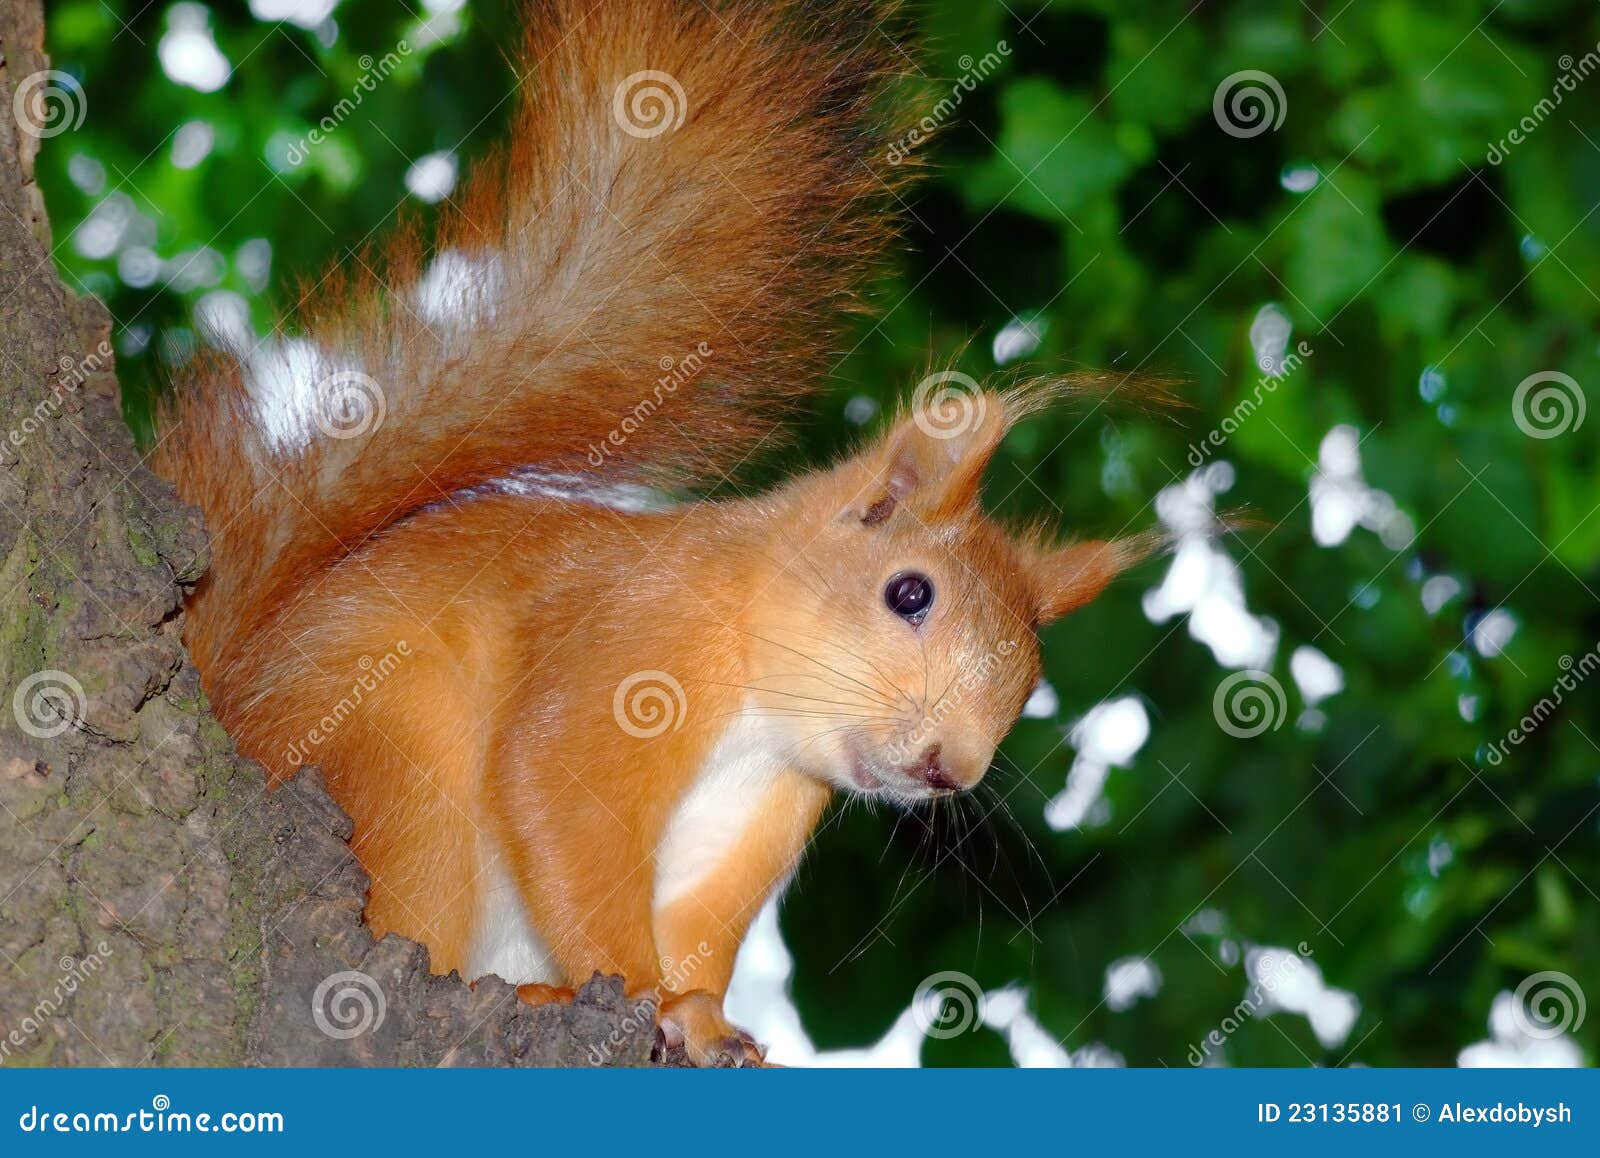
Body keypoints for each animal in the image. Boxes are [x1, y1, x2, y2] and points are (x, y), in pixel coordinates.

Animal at [155, 0, 1164, 1066]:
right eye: (909, 593)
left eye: (1033, 677)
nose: (948, 769)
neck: (762, 695)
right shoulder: (632, 639)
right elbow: (557, 795)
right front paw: (639, 995)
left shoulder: (759, 813)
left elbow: (699, 928)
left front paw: (704, 1020)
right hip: (395, 753)